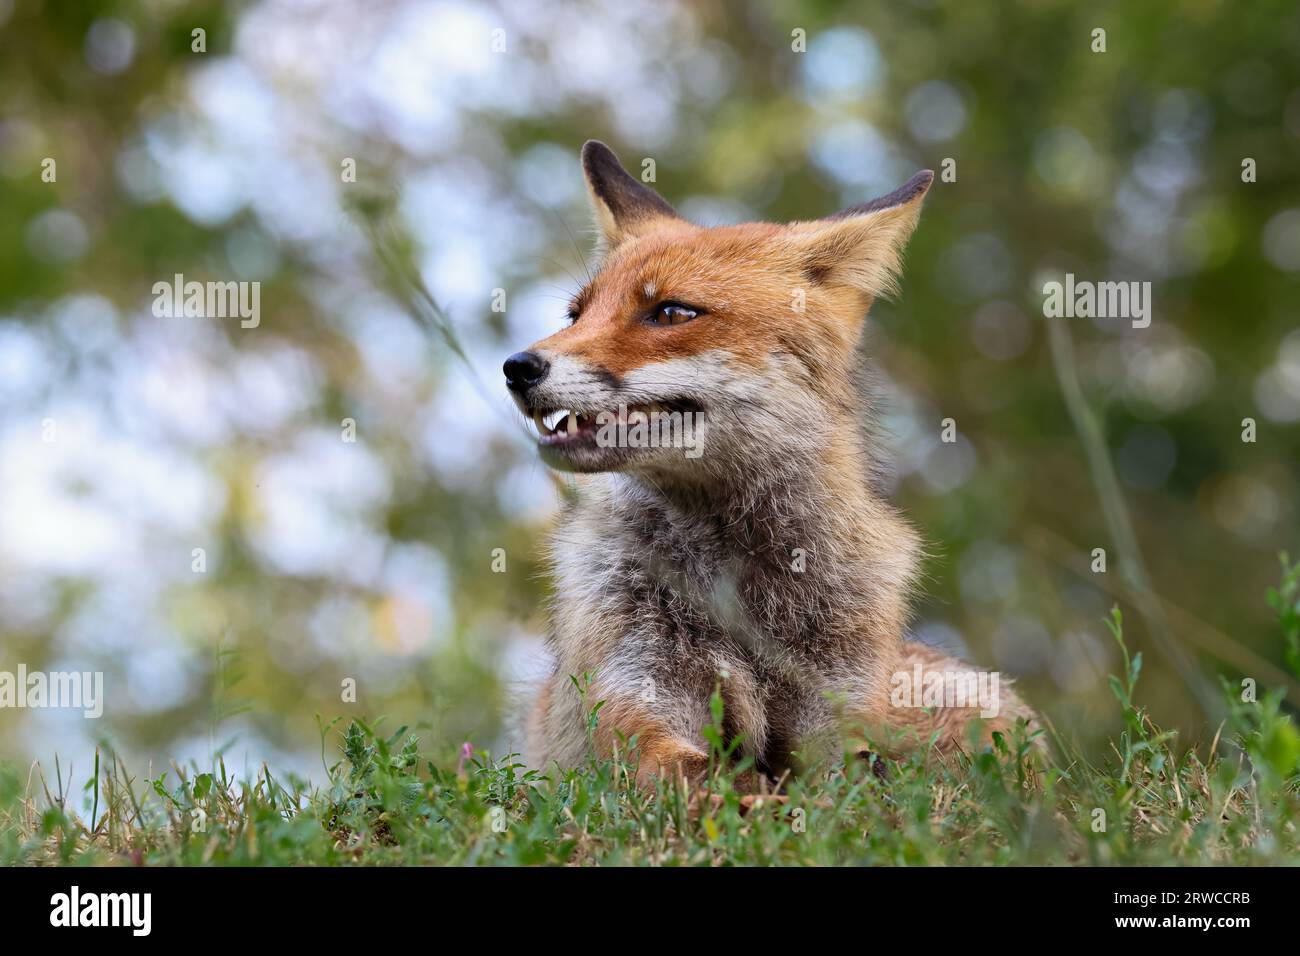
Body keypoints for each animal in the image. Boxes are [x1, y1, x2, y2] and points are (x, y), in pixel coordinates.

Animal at [504, 140, 1038, 789]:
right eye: (575, 315)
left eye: (671, 313)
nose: (517, 367)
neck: (742, 594)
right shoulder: (637, 702)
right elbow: (703, 776)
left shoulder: (836, 723)